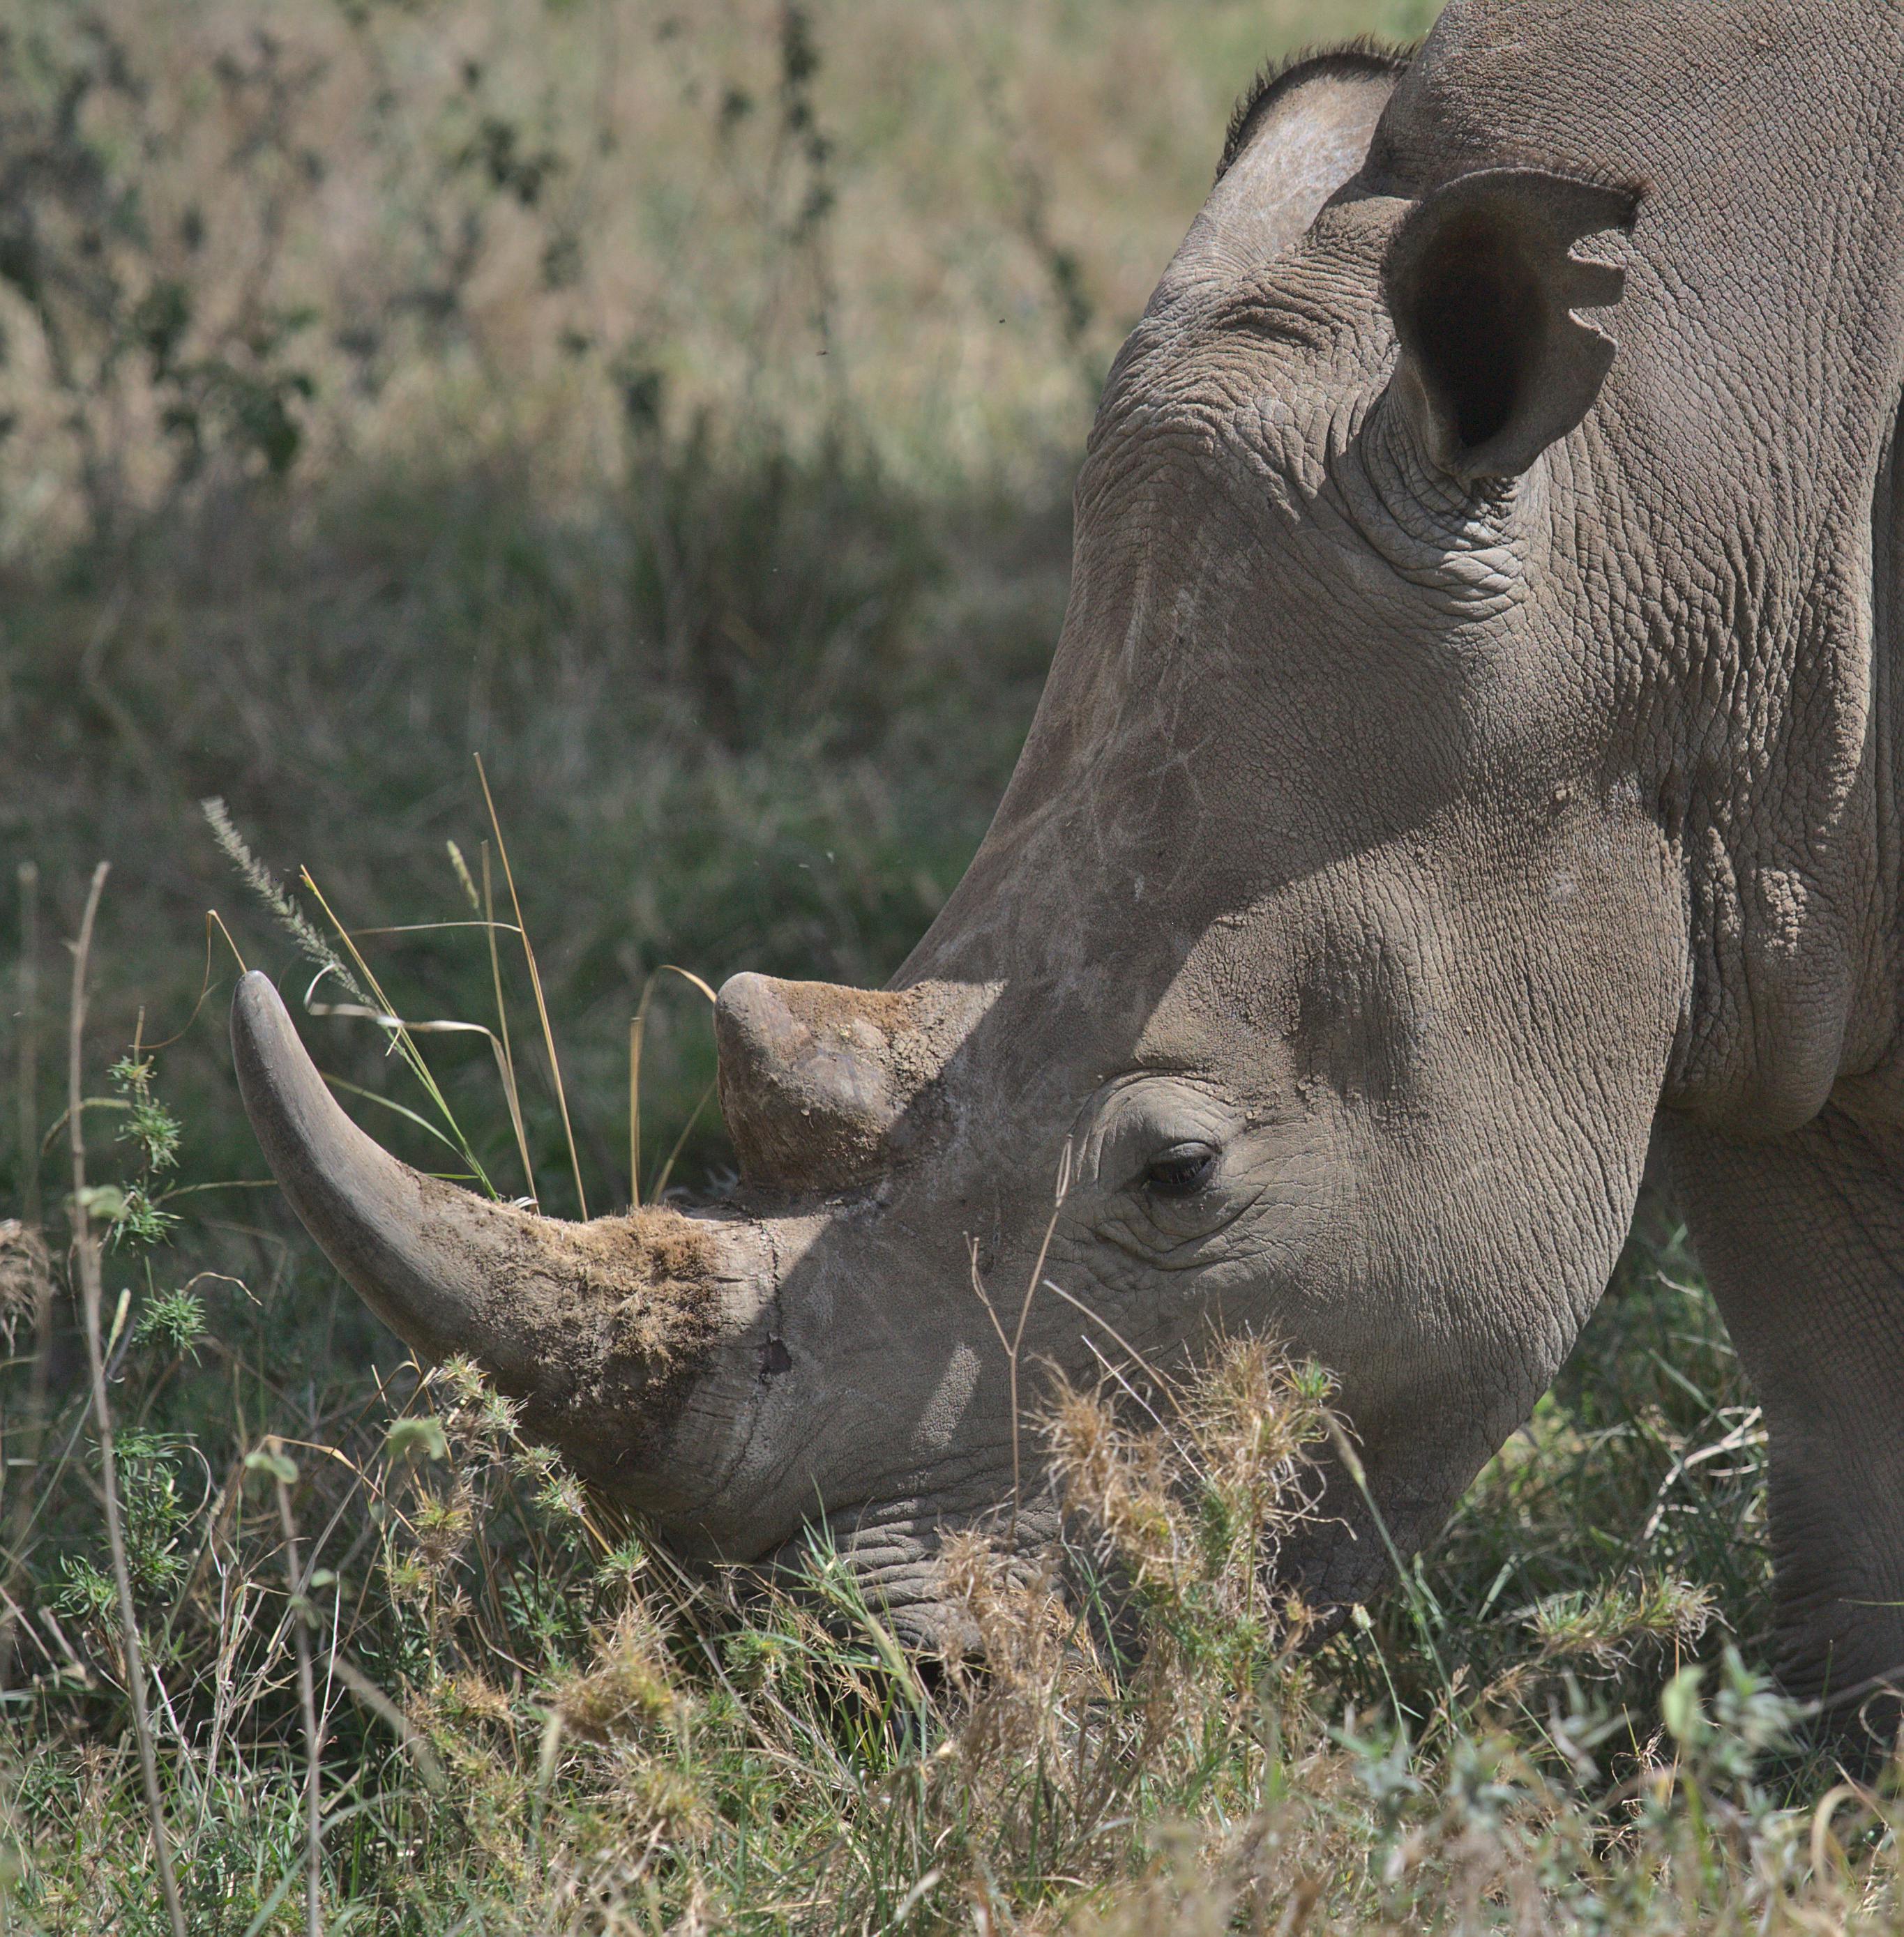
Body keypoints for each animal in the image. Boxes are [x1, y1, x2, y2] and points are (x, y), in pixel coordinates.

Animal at [232, 0, 1904, 1731]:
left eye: (1180, 1174)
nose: (869, 1681)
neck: (1690, 458)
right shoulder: (1750, 902)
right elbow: (1836, 1381)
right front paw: (1845, 1741)